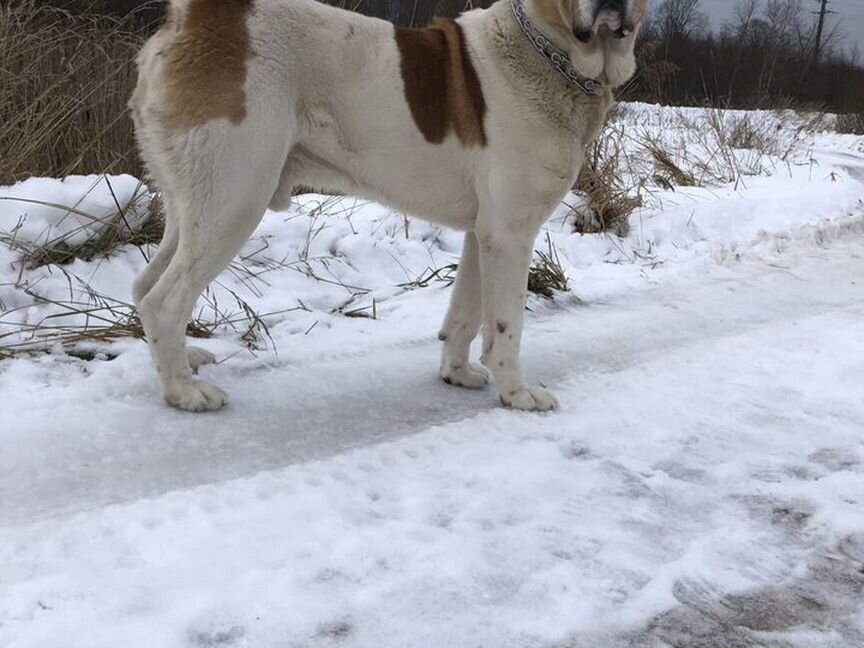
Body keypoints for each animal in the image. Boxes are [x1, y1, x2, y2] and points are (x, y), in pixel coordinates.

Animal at [130, 0, 648, 412]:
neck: (544, 50)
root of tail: (195, 18)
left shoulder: (484, 233)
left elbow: (465, 311)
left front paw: (456, 372)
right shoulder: (510, 235)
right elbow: (505, 324)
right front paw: (517, 394)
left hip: (193, 206)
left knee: (145, 285)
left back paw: (184, 359)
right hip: (234, 202)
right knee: (164, 300)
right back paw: (183, 391)